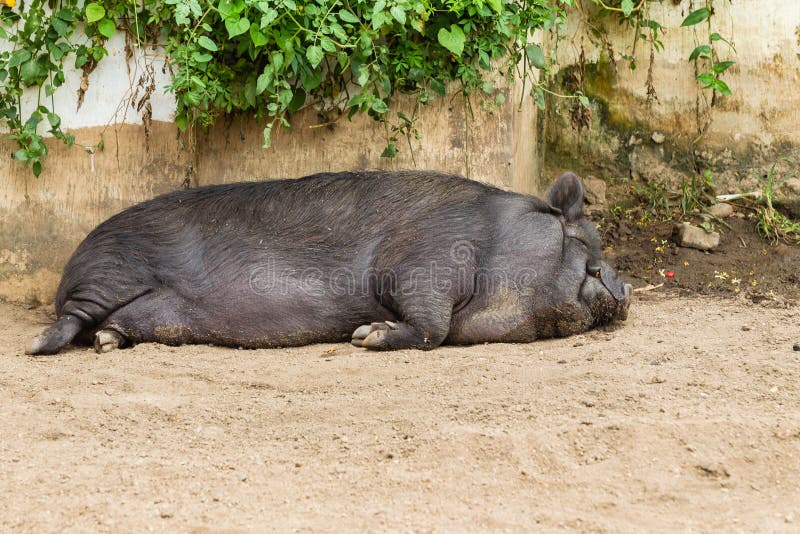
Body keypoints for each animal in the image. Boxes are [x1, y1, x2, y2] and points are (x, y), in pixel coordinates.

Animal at [27, 171, 631, 355]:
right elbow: (430, 327)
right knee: (73, 316)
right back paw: (37, 345)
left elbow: (433, 329)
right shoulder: (424, 257)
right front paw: (366, 335)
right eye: (589, 250)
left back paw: (109, 342)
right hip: (112, 271)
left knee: (108, 325)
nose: (625, 289)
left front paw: (366, 332)